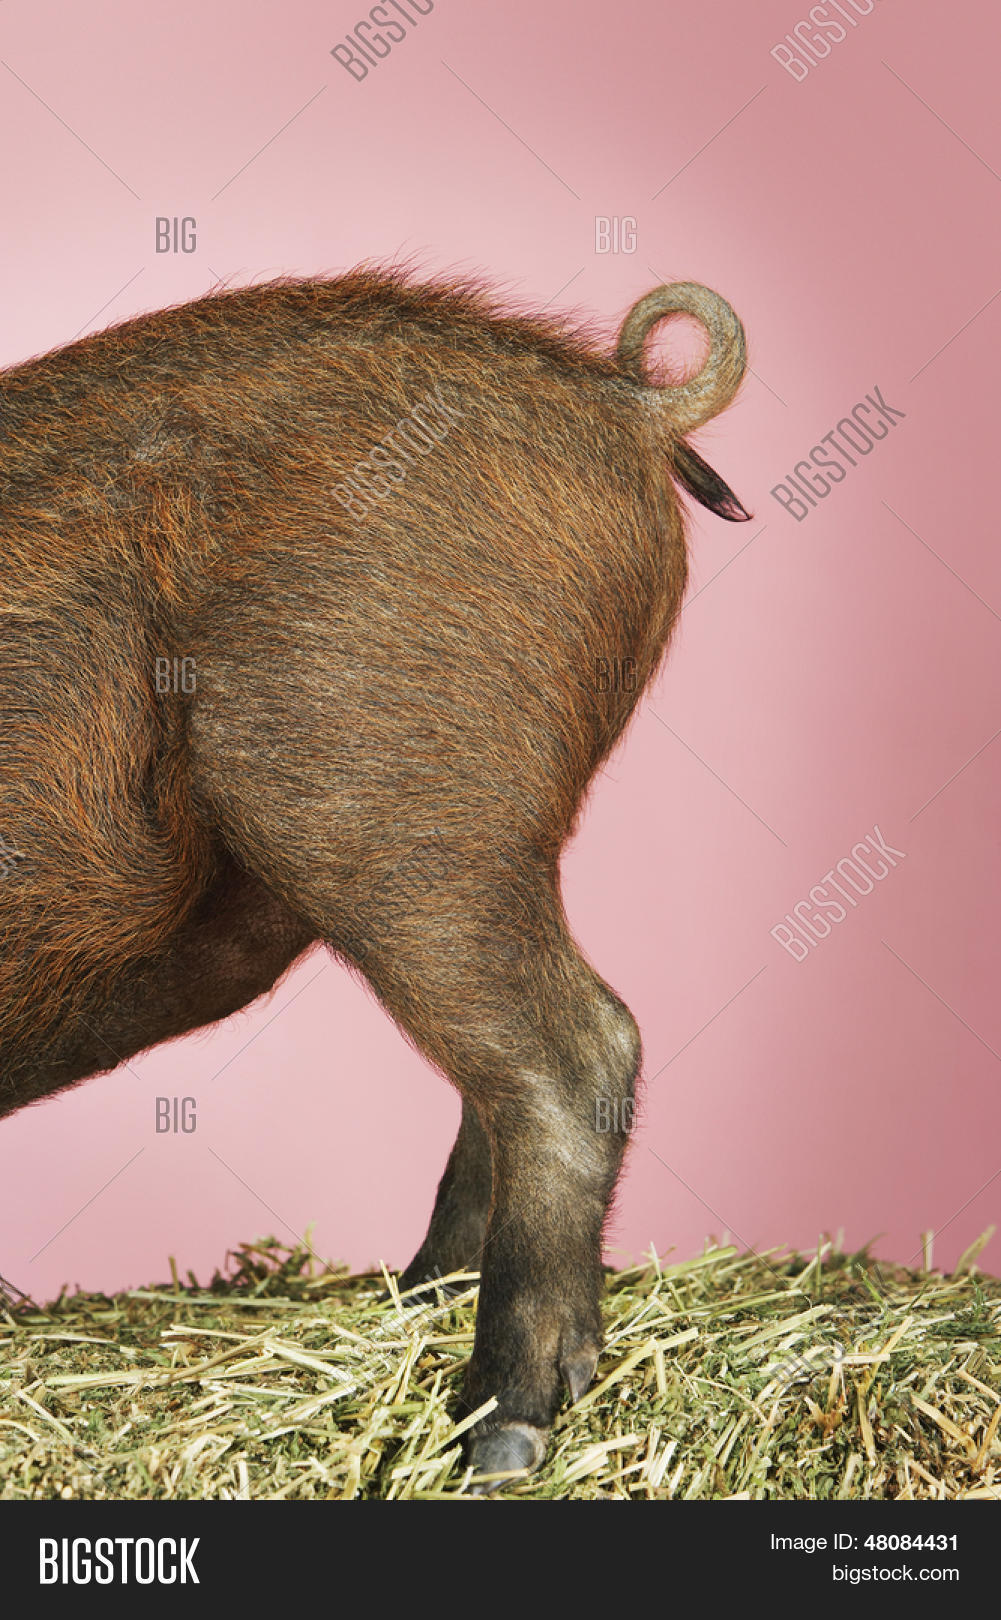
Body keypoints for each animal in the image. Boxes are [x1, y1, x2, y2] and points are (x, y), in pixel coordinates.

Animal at [0, 268, 748, 1487]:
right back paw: (412, 1302)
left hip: (386, 806)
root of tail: (625, 405)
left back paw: (496, 1435)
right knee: (500, 1078)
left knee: (577, 1049)